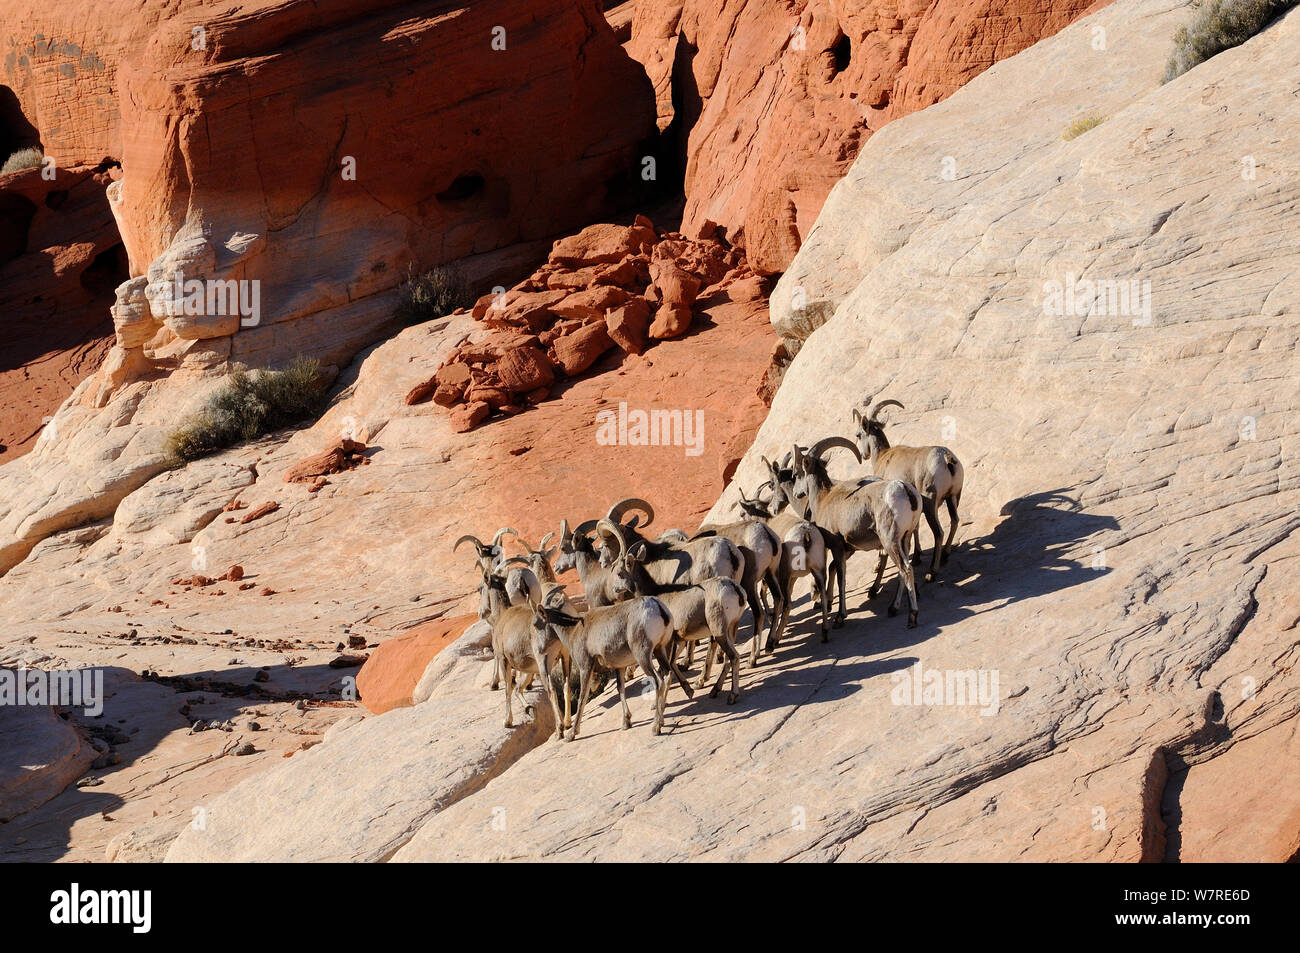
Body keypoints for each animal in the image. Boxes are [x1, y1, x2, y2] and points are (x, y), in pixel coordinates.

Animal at [535, 585, 683, 740]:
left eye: (536, 624)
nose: (539, 650)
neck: (573, 630)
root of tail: (657, 607)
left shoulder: (585, 667)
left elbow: (582, 697)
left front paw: (571, 734)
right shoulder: (619, 666)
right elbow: (620, 689)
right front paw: (626, 723)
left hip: (643, 656)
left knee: (658, 681)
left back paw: (656, 727)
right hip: (661, 649)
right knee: (667, 674)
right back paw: (662, 720)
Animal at [606, 524, 748, 704]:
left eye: (619, 572)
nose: (613, 590)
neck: (655, 592)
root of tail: (734, 588)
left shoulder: (668, 641)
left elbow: (668, 668)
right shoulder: (678, 639)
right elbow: (672, 664)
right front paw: (688, 690)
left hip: (719, 631)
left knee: (732, 656)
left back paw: (729, 694)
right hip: (731, 629)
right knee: (730, 658)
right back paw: (714, 690)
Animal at [787, 436, 922, 628]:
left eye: (797, 474)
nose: (796, 493)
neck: (823, 499)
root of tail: (905, 489)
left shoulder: (837, 547)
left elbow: (841, 578)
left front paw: (839, 617)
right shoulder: (848, 549)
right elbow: (834, 570)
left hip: (890, 541)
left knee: (906, 569)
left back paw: (912, 616)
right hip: (905, 539)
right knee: (902, 570)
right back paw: (892, 609)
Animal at [852, 398, 965, 582]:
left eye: (858, 435)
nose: (863, 455)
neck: (883, 456)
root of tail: (946, 458)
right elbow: (915, 529)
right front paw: (917, 557)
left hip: (931, 503)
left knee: (938, 532)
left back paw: (932, 572)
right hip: (953, 497)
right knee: (955, 521)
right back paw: (946, 555)